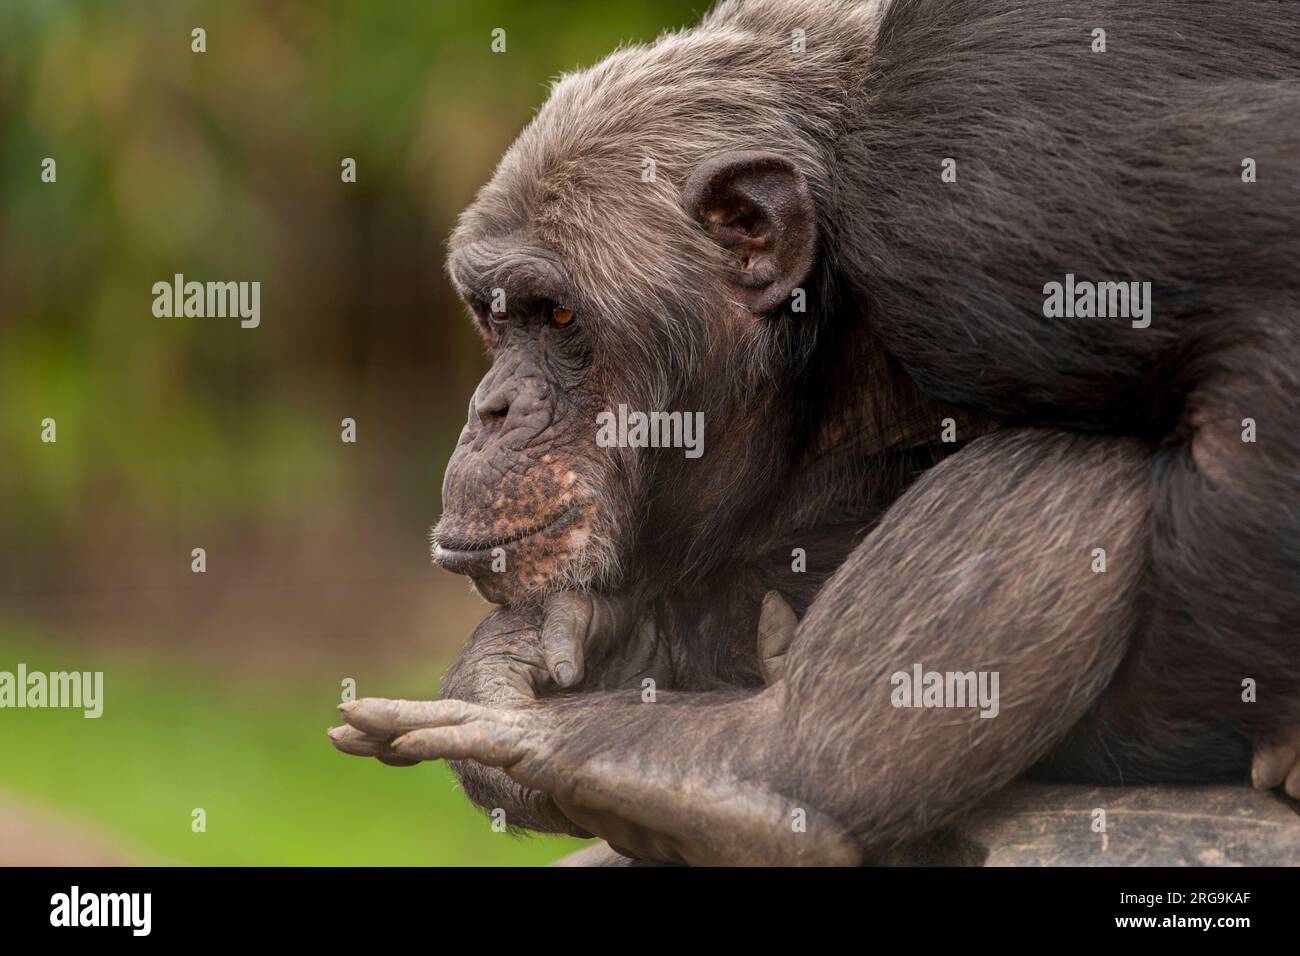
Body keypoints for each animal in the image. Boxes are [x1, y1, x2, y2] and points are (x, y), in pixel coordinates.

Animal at [331, 0, 1300, 864]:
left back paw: (744, 768)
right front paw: (571, 641)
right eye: (497, 317)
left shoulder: (976, 180)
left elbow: (1265, 331)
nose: (491, 409)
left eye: (557, 314)